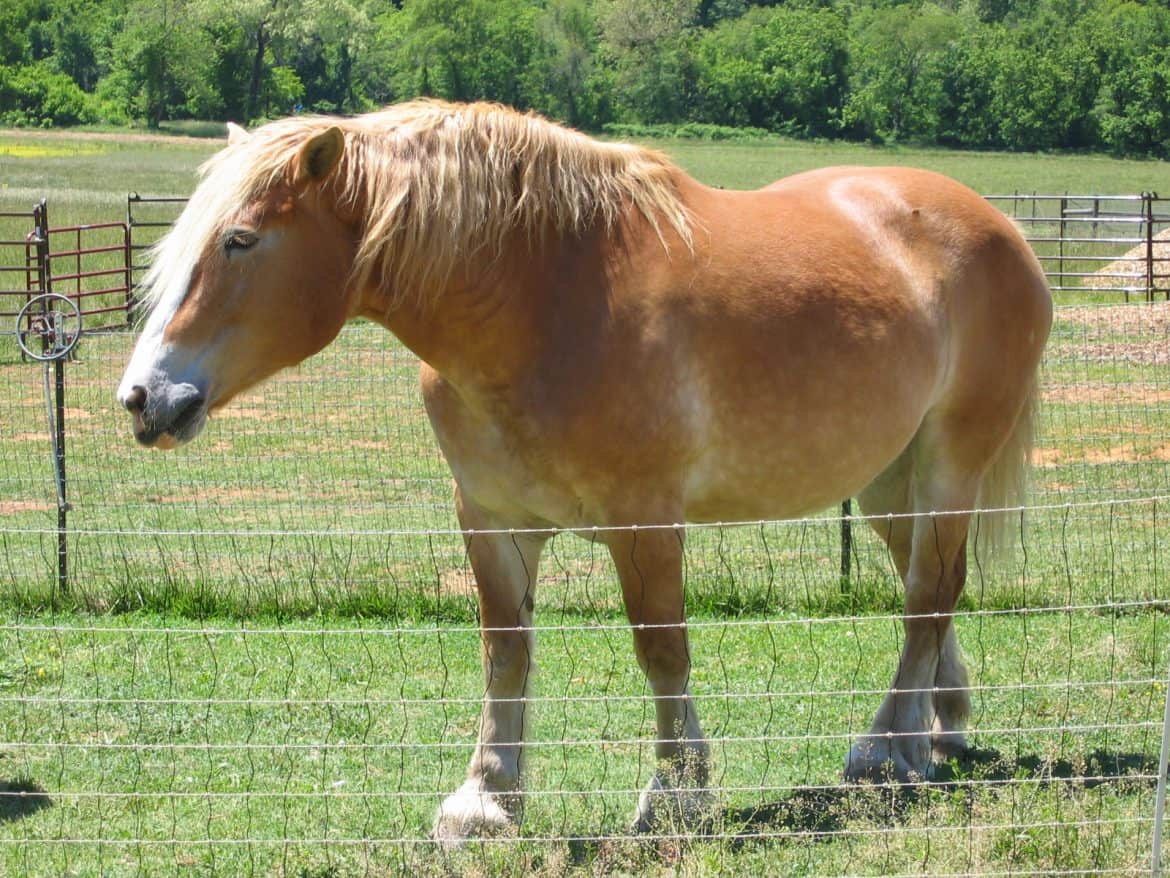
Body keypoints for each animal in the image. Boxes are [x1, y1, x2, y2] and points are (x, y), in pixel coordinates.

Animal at [117, 99, 1052, 840]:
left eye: (240, 239)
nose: (144, 398)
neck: (542, 303)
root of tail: (997, 226)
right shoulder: (490, 520)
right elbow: (505, 651)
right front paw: (486, 800)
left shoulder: (643, 521)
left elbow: (661, 650)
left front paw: (675, 795)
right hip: (891, 479)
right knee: (925, 586)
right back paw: (932, 733)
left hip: (951, 458)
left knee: (930, 590)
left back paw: (882, 752)